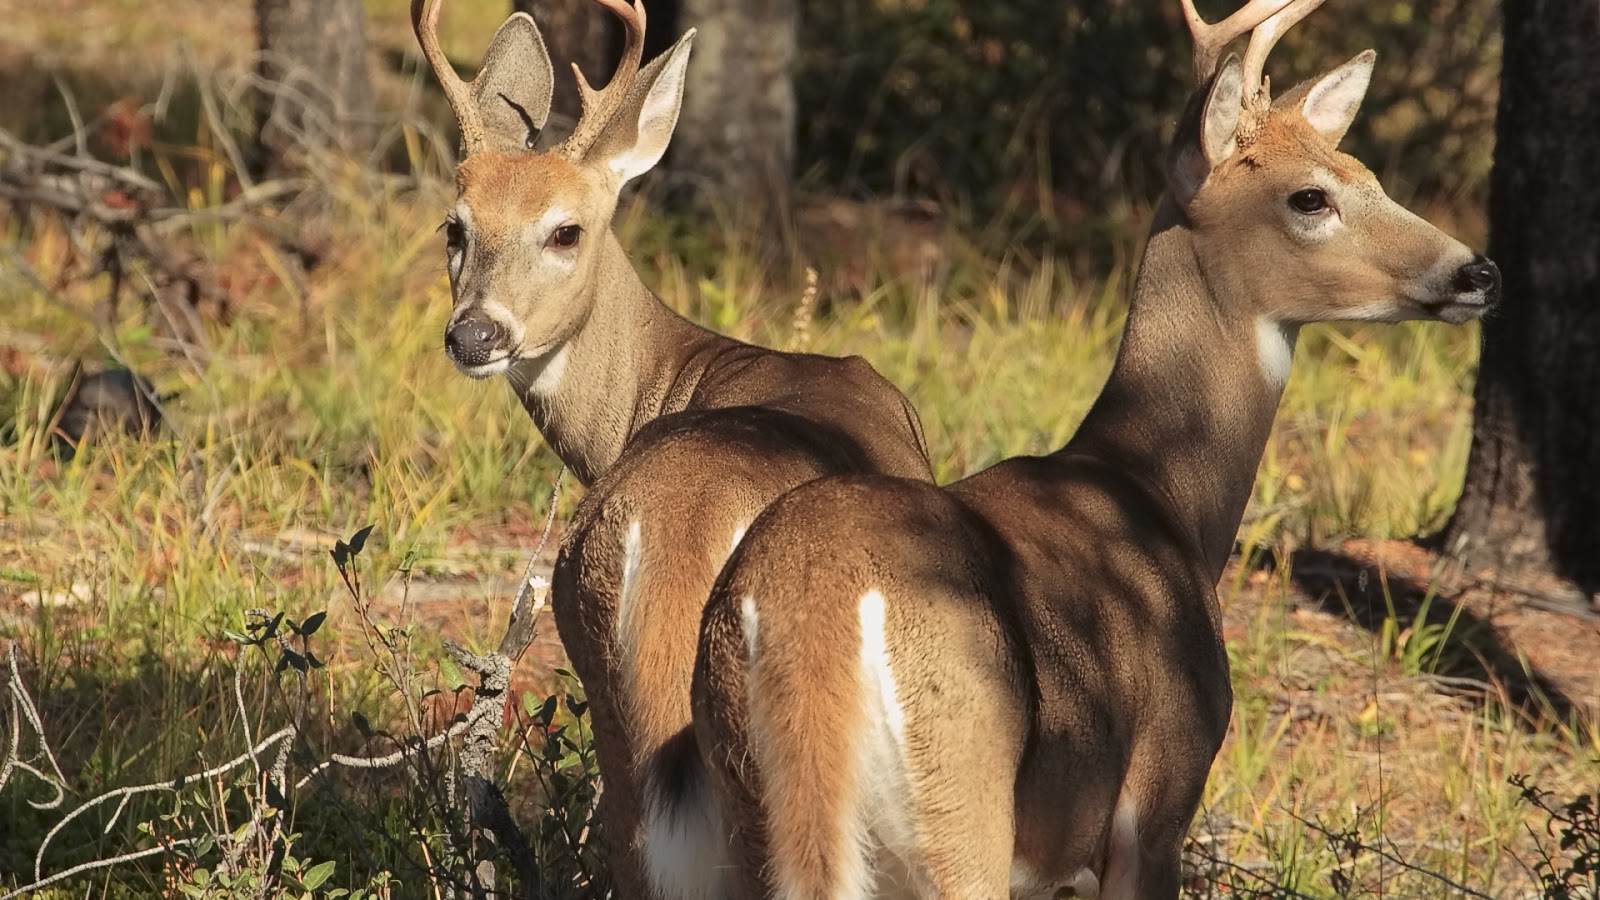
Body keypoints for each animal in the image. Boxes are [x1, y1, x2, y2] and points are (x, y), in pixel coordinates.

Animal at [690, 0, 1502, 896]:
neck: (1158, 488)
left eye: (1367, 171)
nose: (1478, 271)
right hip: (960, 799)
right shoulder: (1160, 795)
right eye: (1310, 196)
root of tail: (808, 615)